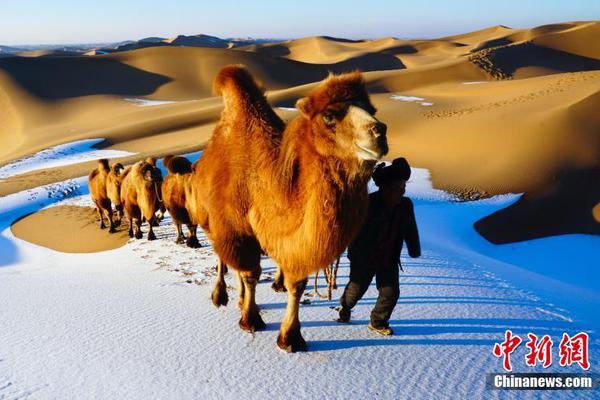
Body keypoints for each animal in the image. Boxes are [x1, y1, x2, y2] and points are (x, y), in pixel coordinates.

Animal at [189, 66, 390, 354]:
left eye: (372, 108)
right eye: (329, 116)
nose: (379, 132)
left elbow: (296, 284)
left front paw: (290, 337)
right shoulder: (237, 228)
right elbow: (250, 273)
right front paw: (251, 320)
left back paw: (239, 300)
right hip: (209, 218)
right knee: (222, 258)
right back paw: (221, 296)